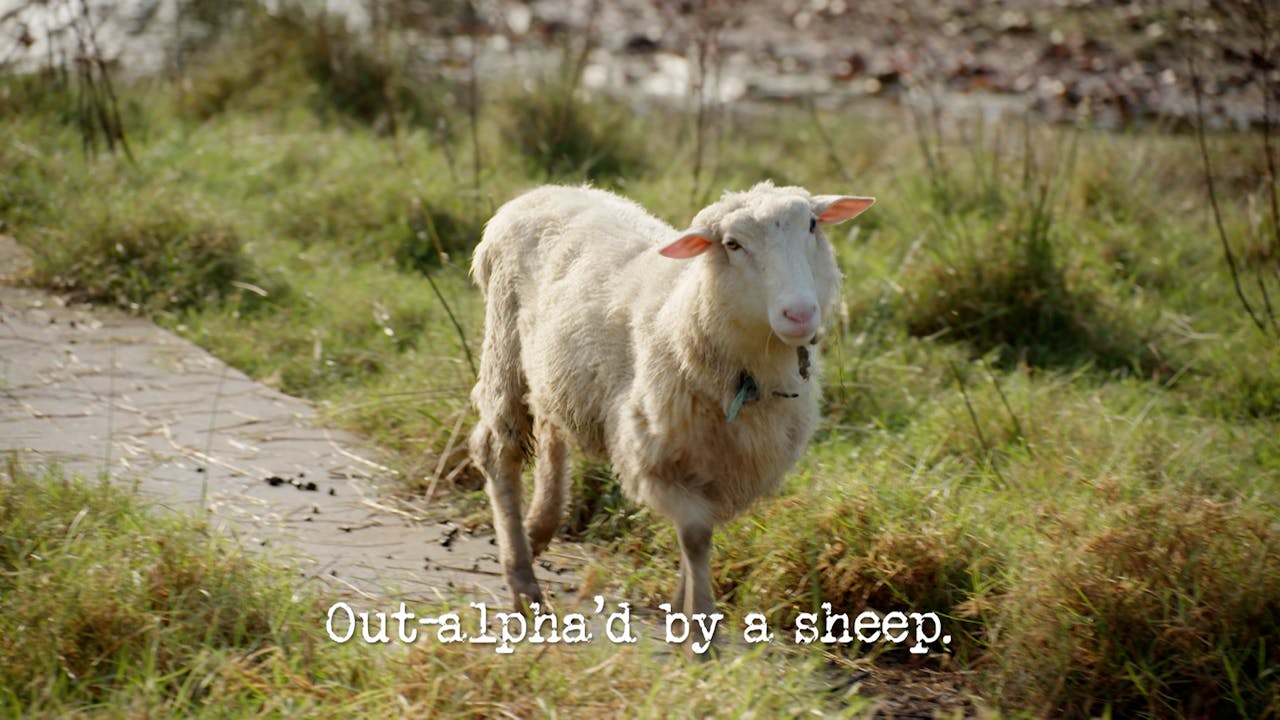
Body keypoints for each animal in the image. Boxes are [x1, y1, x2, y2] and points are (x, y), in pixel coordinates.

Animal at [467, 182, 874, 625]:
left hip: (551, 371)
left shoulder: (726, 461)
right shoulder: (654, 457)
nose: (799, 314)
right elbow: (695, 537)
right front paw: (700, 624)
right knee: (498, 453)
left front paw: (683, 604)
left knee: (550, 428)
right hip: (504, 349)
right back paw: (523, 581)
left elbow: (700, 534)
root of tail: (537, 193)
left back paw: (538, 528)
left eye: (813, 225)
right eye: (732, 244)